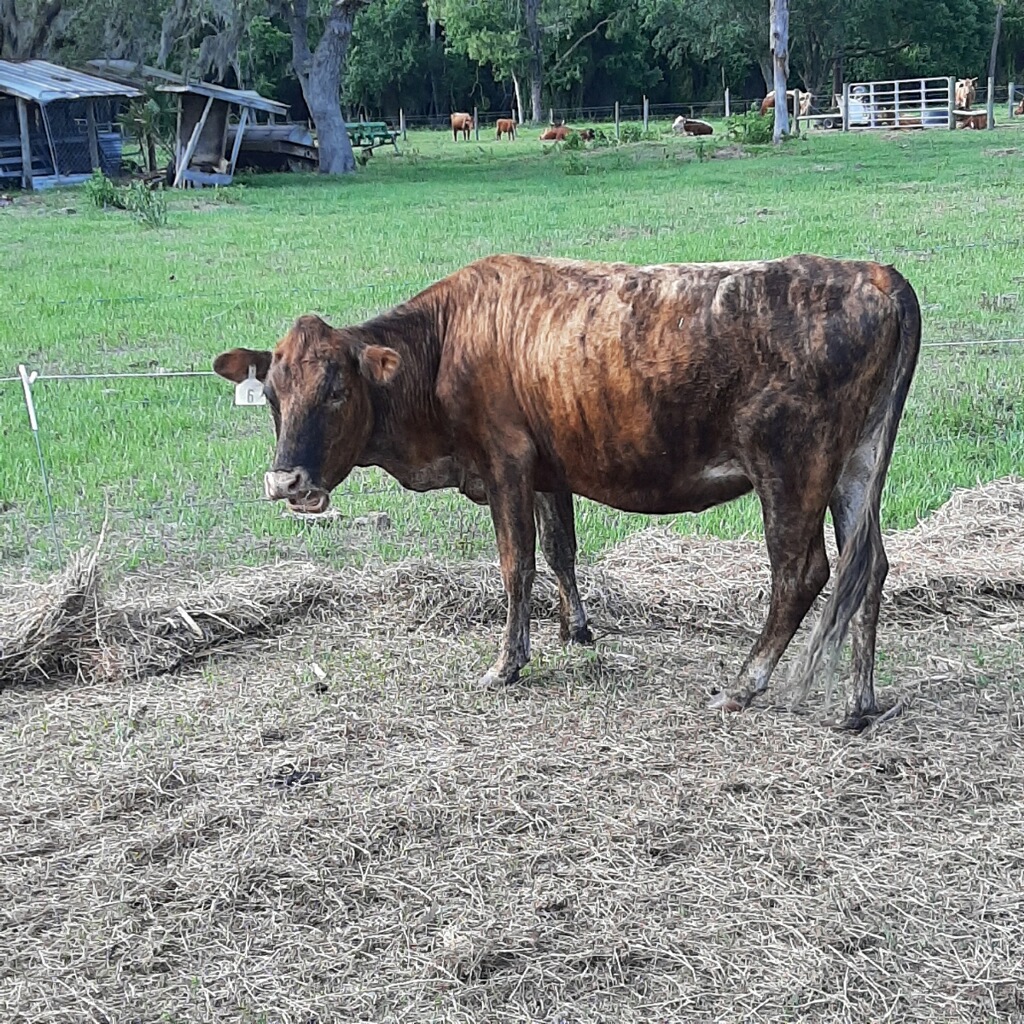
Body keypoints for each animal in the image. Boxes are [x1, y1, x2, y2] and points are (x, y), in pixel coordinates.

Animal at [213, 254, 921, 729]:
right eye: (271, 394)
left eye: (336, 390)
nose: (285, 481)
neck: (446, 343)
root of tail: (878, 275)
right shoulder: (548, 471)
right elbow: (561, 550)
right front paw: (574, 628)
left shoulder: (506, 462)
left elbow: (516, 565)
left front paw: (508, 663)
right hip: (858, 469)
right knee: (869, 566)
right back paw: (858, 702)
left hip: (791, 468)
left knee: (802, 573)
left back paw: (744, 685)